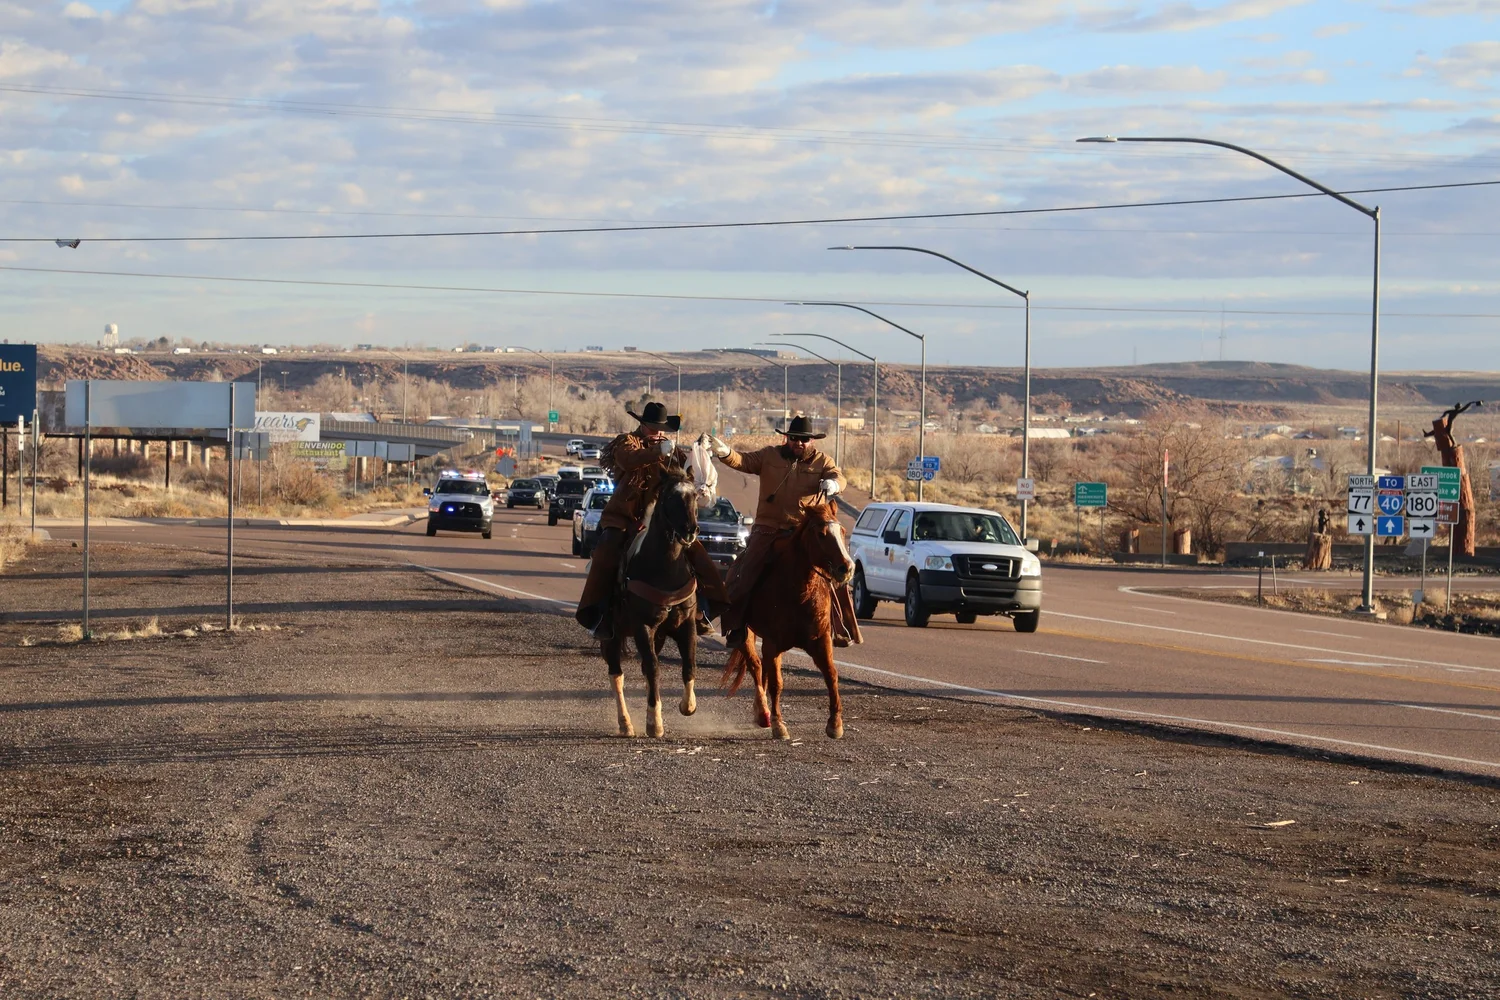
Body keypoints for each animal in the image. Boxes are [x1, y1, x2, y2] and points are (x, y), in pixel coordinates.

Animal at [600, 466, 703, 738]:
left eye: (695, 495)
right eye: (671, 497)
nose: (690, 530)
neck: (665, 570)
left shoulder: (685, 625)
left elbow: (689, 664)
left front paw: (687, 705)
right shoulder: (643, 627)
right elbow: (654, 668)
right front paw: (655, 722)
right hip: (612, 636)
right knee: (617, 674)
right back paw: (625, 723)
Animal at [722, 500, 855, 740]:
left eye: (842, 531)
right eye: (821, 534)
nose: (846, 568)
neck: (799, 592)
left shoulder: (821, 640)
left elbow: (831, 675)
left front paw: (835, 723)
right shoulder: (773, 642)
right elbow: (776, 683)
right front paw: (778, 724)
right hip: (747, 636)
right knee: (756, 667)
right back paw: (763, 712)